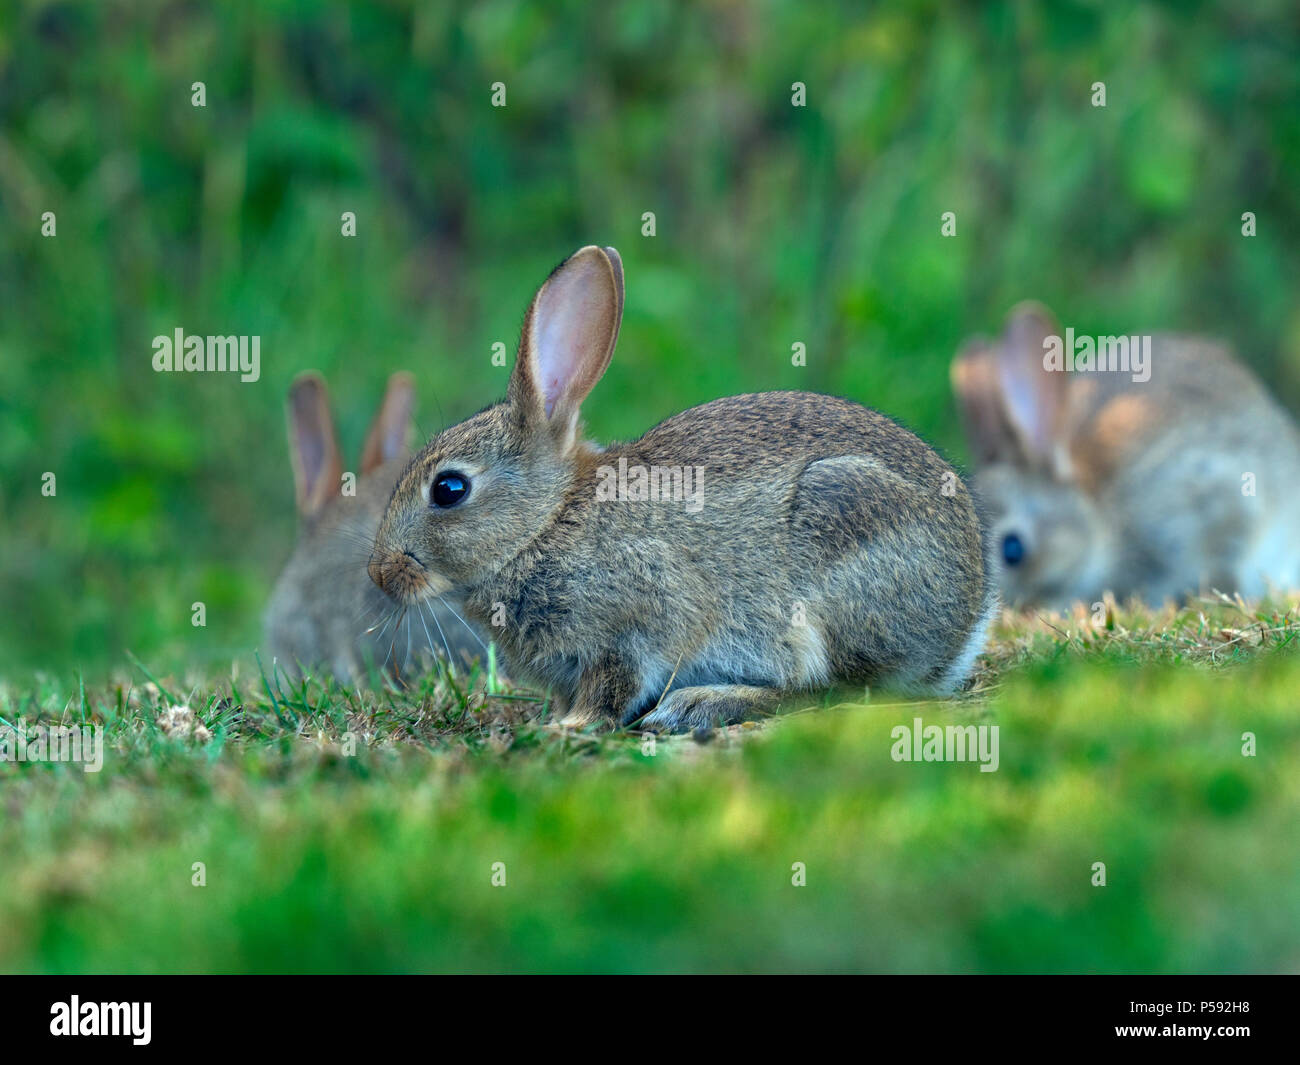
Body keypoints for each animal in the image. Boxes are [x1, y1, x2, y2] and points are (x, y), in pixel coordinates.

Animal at [365, 245, 998, 732]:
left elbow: (616, 681)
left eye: (449, 489)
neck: (546, 524)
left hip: (838, 545)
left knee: (830, 691)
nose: (380, 574)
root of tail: (967, 617)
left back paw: (700, 704)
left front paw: (571, 726)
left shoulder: (638, 621)